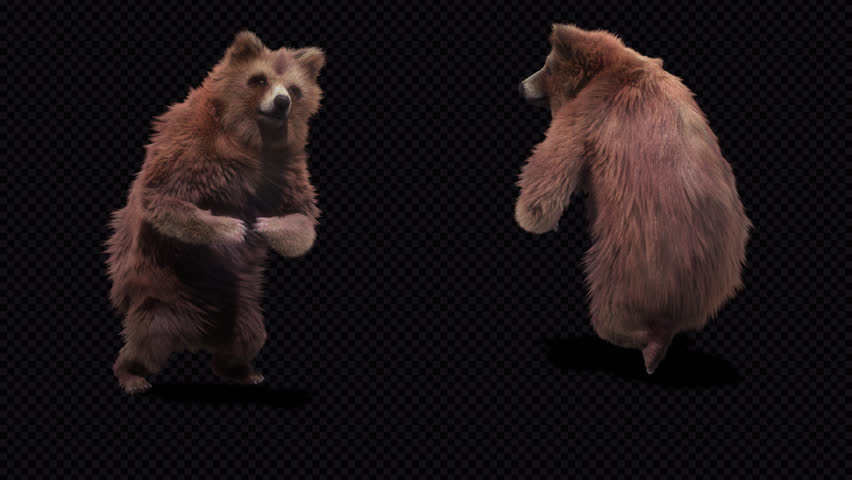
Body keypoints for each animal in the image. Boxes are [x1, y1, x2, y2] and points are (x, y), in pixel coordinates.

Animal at [105, 31, 326, 393]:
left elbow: (304, 218)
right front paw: (230, 227)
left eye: (294, 89)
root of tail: (195, 337)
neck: (249, 137)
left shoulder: (287, 166)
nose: (282, 103)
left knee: (249, 336)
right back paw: (132, 374)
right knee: (146, 337)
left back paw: (243, 370)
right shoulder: (189, 144)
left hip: (242, 309)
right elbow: (163, 199)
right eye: (258, 79)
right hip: (163, 294)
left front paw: (268, 226)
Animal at [515, 24, 752, 373]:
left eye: (547, 64)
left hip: (626, 262)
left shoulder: (591, 109)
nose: (521, 85)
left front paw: (530, 215)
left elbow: (555, 156)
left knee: (612, 309)